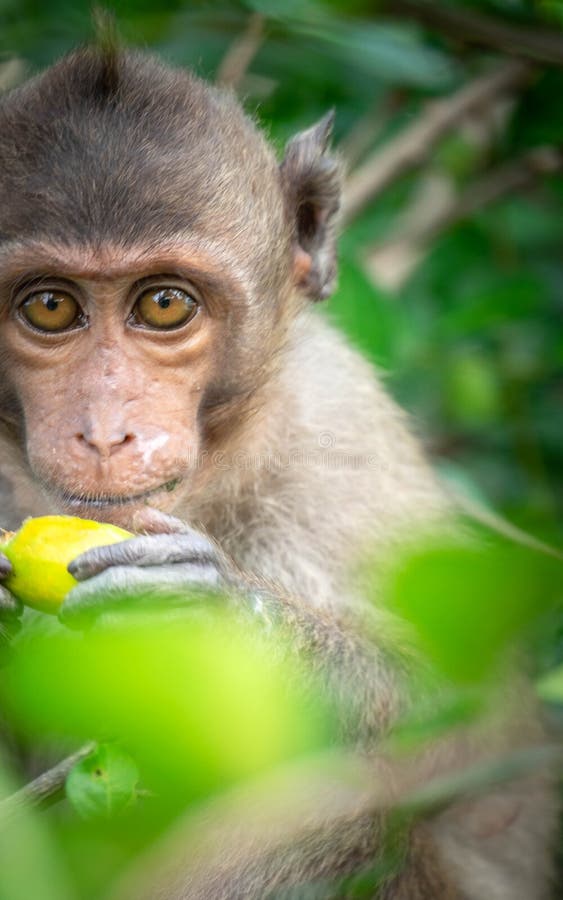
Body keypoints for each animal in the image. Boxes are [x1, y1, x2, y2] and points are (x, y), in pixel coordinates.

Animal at [0, 46, 557, 899]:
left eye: (164, 305)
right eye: (51, 308)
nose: (103, 430)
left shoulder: (337, 434)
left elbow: (475, 715)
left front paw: (215, 621)